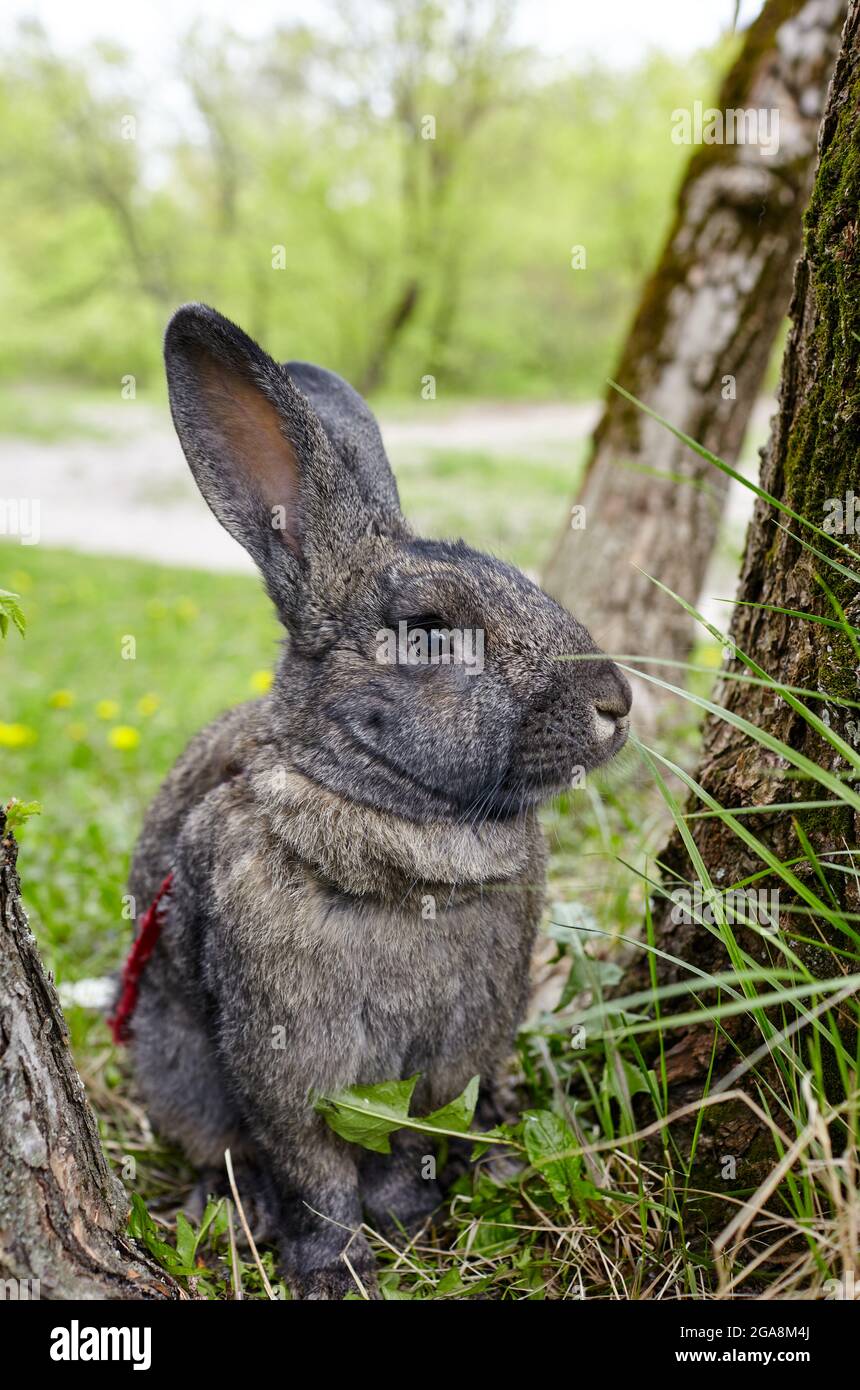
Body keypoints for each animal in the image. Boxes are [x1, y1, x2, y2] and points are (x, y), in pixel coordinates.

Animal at [122, 303, 632, 1300]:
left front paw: (405, 1221)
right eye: (430, 631)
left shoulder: (453, 1052)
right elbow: (315, 1168)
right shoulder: (286, 1062)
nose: (616, 703)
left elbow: (411, 1139)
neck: (405, 829)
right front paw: (336, 1265)